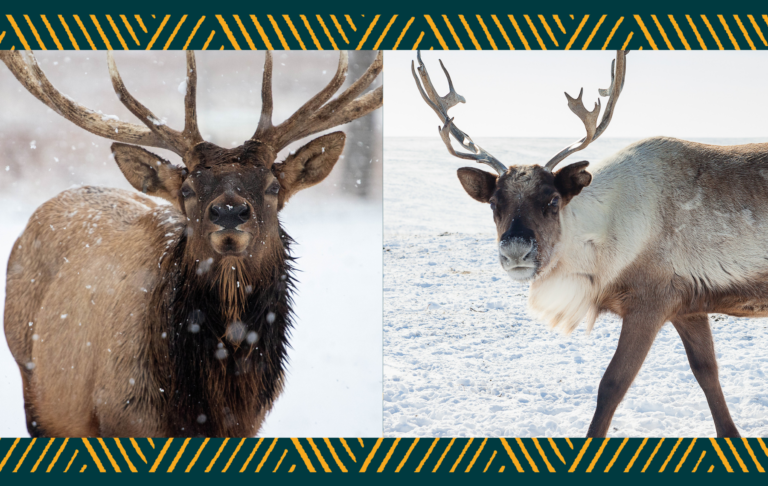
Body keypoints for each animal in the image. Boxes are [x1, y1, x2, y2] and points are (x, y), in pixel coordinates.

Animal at [413, 49, 768, 438]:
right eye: (494, 203)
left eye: (553, 201)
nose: (515, 249)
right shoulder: (689, 305)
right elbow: (707, 372)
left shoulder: (650, 302)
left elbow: (612, 385)